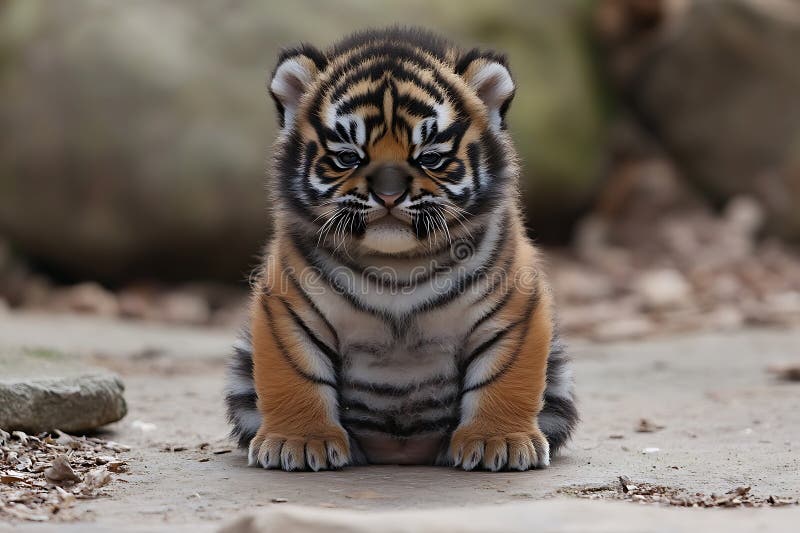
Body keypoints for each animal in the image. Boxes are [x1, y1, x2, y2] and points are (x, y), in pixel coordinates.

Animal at [225, 27, 577, 472]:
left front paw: (498, 441)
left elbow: (505, 377)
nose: (389, 193)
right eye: (347, 157)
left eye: (430, 158)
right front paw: (300, 441)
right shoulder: (288, 306)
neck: (397, 264)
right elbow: (295, 375)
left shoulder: (514, 307)